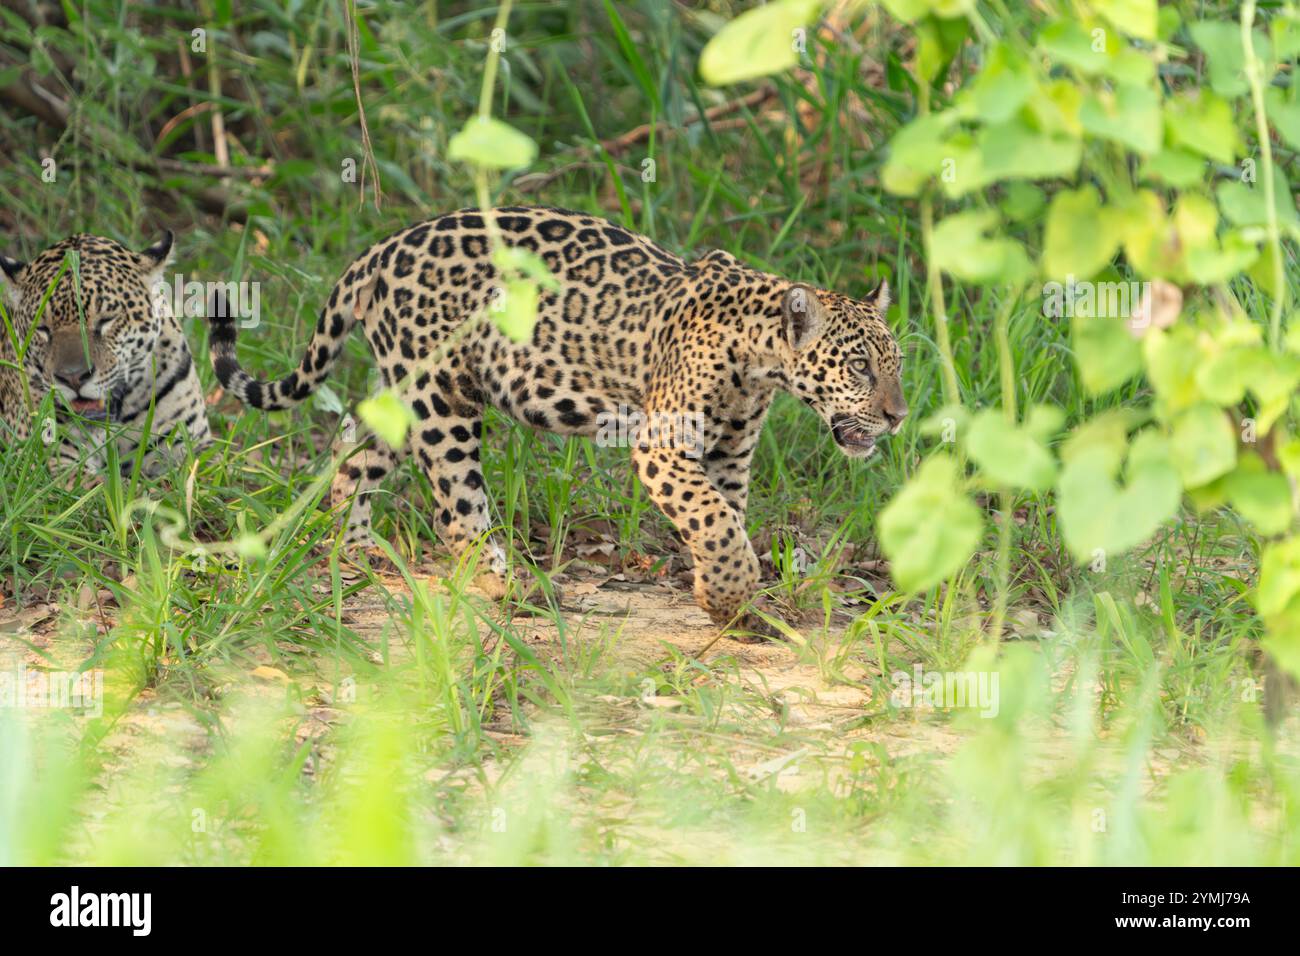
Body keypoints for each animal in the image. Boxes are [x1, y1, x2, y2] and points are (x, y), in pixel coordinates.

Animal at [206, 206, 907, 637]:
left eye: (895, 365)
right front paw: (731, 596)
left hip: (405, 390)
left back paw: (355, 549)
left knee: (354, 449)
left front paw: (725, 601)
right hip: (444, 398)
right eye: (860, 368)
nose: (899, 417)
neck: (760, 360)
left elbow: (725, 519)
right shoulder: (662, 444)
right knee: (456, 506)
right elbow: (714, 520)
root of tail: (378, 251)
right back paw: (509, 587)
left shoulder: (731, 451)